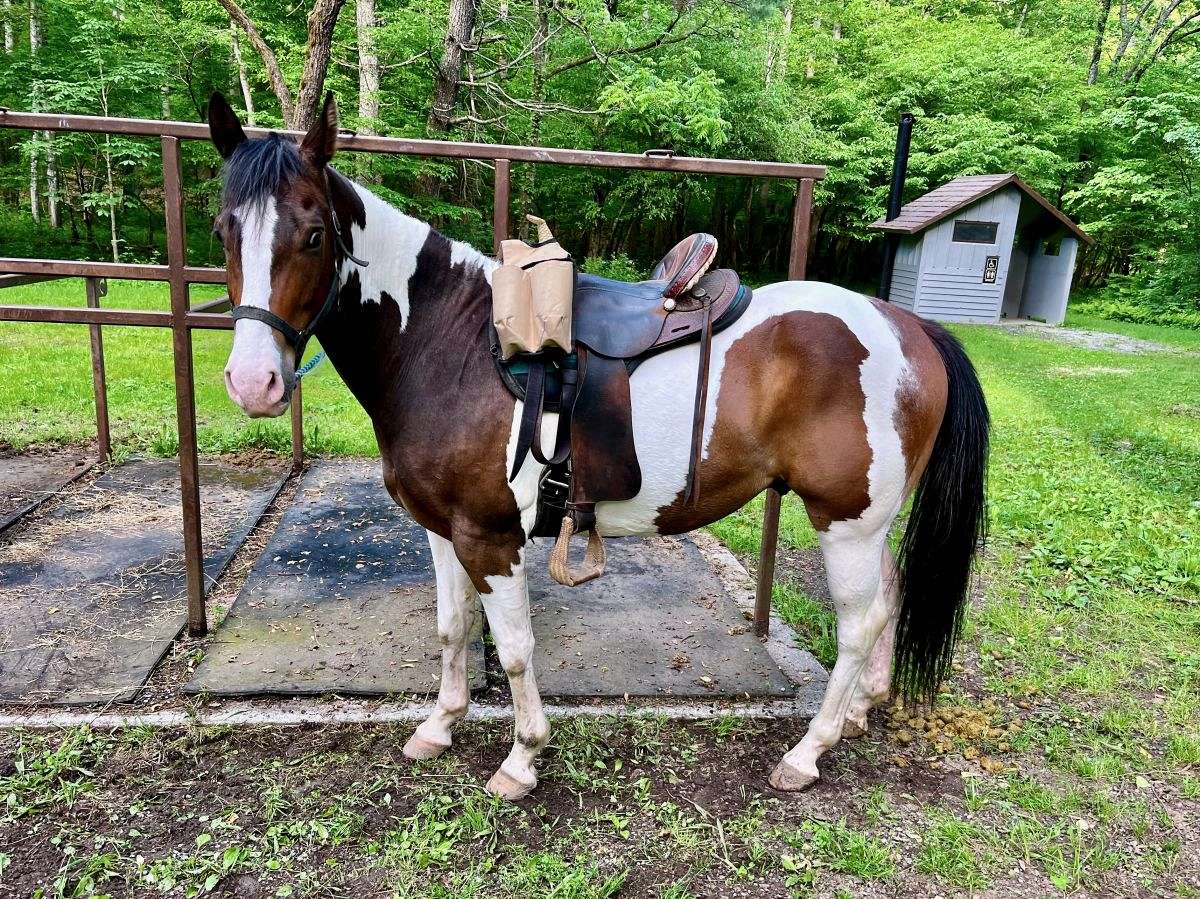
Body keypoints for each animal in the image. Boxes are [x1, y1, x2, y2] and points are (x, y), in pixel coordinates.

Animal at [207, 90, 989, 800]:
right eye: (222, 229)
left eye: (314, 235)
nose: (252, 382)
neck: (446, 344)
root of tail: (908, 326)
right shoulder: (442, 530)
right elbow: (451, 628)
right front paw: (439, 725)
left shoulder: (490, 537)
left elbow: (515, 651)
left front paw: (521, 759)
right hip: (868, 520)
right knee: (888, 602)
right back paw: (857, 713)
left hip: (845, 522)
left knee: (859, 624)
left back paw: (808, 751)